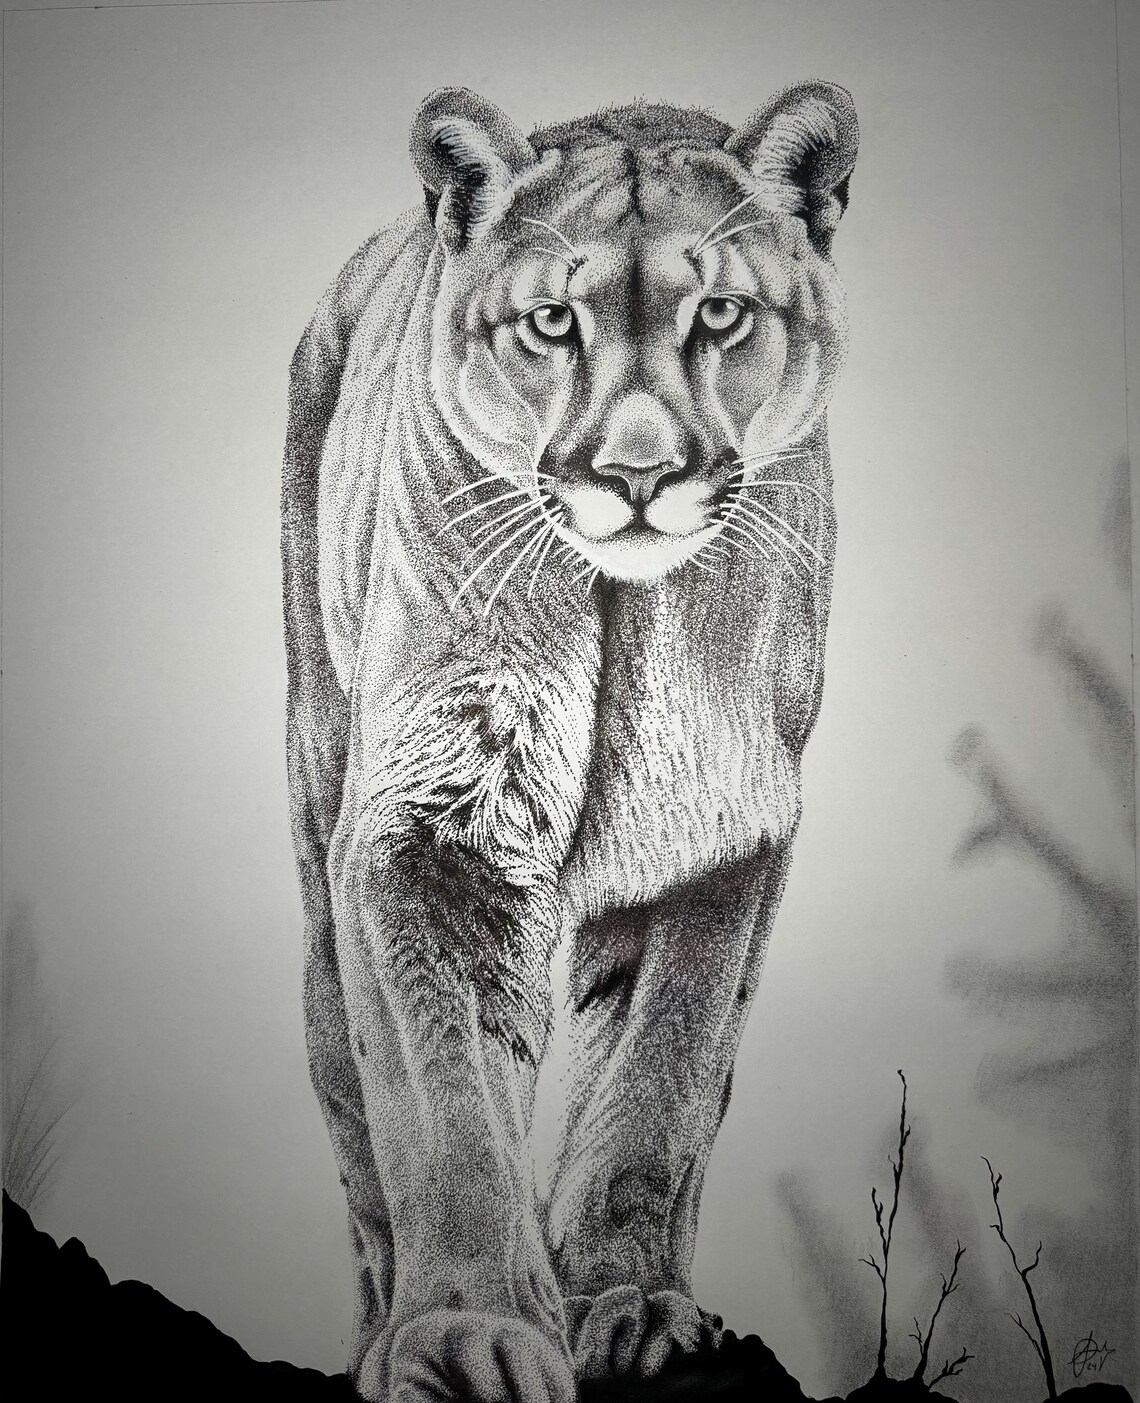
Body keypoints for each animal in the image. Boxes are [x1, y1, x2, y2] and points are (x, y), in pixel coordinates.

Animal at [282, 81, 858, 1402]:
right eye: (553, 322)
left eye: (718, 313)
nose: (636, 477)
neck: (625, 606)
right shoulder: (428, 821)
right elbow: (443, 1100)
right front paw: (469, 1331)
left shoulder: (716, 835)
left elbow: (659, 1082)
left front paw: (625, 1304)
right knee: (347, 1085)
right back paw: (381, 1322)